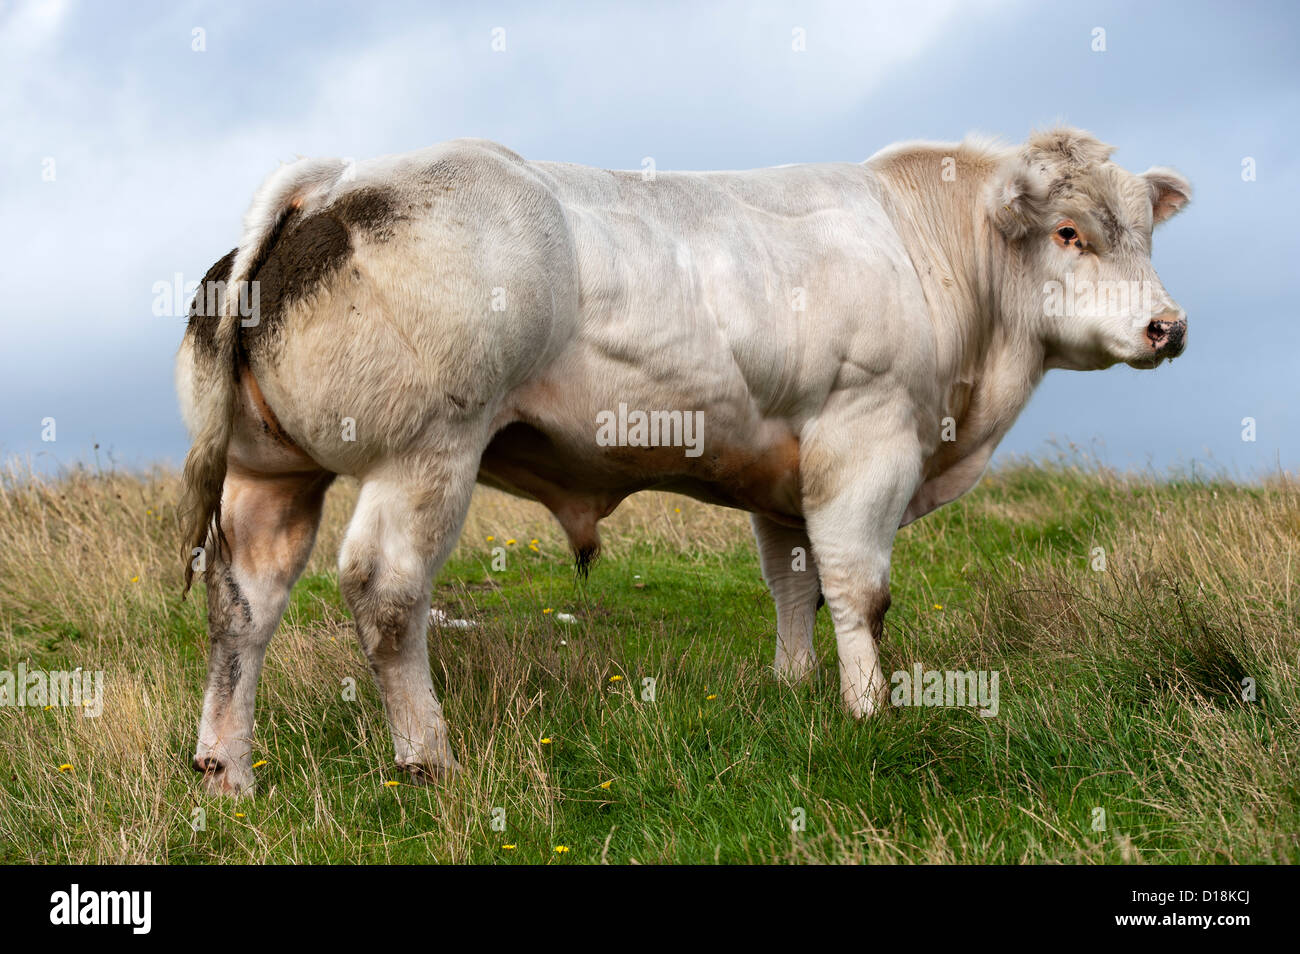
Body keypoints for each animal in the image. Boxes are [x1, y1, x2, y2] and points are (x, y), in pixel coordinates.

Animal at [176, 127, 1190, 795]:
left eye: (1145, 233)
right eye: (1069, 232)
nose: (1167, 326)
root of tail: (338, 182)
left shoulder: (785, 476)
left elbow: (794, 583)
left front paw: (795, 688)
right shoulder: (866, 436)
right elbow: (860, 589)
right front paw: (870, 711)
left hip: (271, 476)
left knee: (243, 606)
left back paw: (227, 770)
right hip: (426, 453)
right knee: (385, 593)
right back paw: (429, 758)